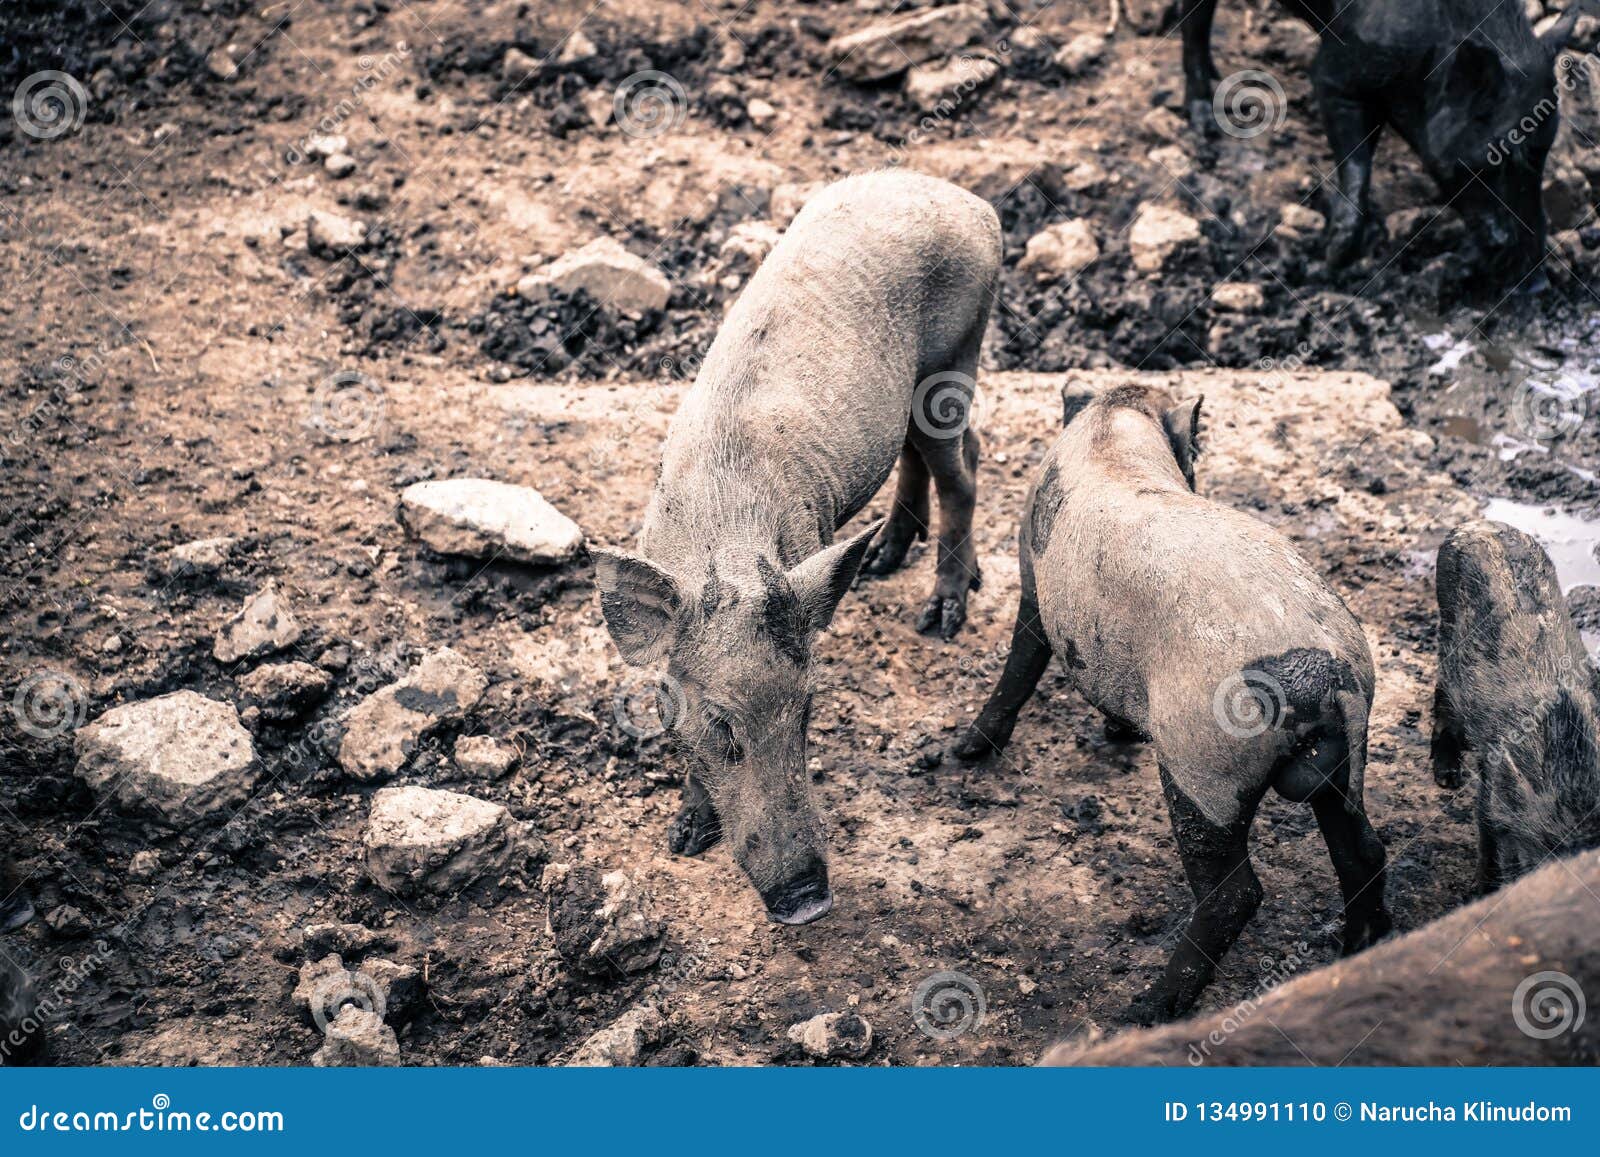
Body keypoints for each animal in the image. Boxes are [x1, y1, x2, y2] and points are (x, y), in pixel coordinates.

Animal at [593, 171, 1001, 924]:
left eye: (808, 712)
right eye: (723, 725)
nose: (810, 898)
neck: (724, 539)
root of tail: (971, 202)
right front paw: (682, 838)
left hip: (956, 356)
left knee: (962, 472)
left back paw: (941, 617)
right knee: (945, 455)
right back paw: (881, 560)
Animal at [953, 382, 1390, 1023]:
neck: (1114, 426)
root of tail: (1326, 672)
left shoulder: (1032, 575)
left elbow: (1020, 661)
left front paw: (963, 753)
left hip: (1201, 764)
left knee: (1236, 893)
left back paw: (1145, 1007)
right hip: (1342, 764)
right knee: (1364, 850)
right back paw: (1359, 949)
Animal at [1179, 0, 1581, 281]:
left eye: (1543, 152)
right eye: (1497, 156)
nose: (1536, 281)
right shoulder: (1335, 73)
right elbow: (1356, 163)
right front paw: (1331, 259)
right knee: (1195, 19)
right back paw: (1203, 119)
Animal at [1433, 519, 1600, 893]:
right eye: (1539, 857)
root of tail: (1473, 524)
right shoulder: (1493, 779)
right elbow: (1487, 830)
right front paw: (1479, 891)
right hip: (1447, 636)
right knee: (1442, 699)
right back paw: (1447, 779)